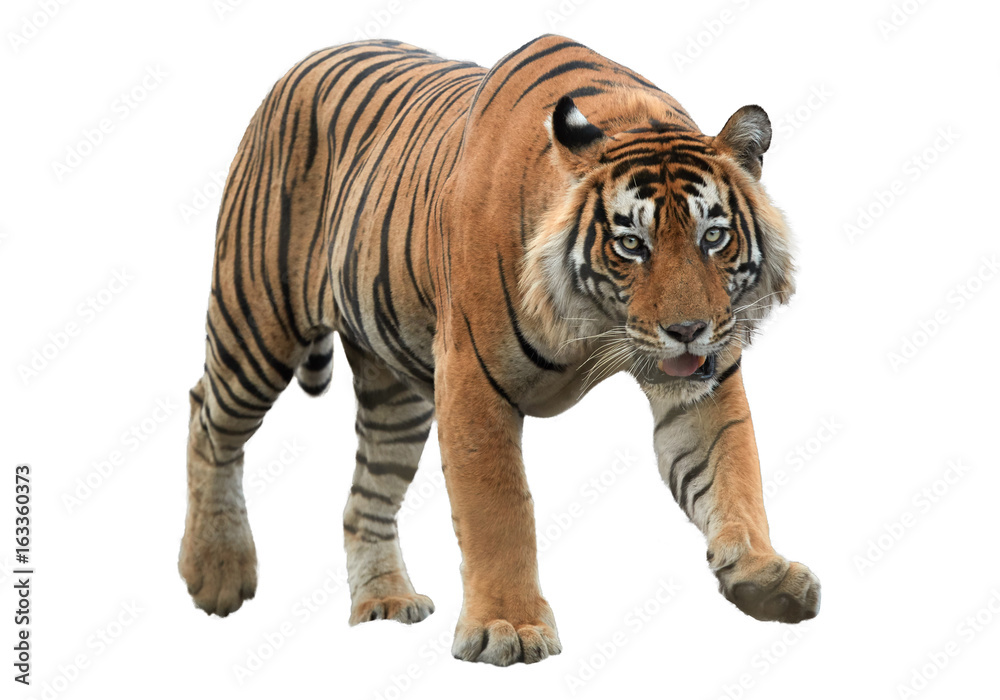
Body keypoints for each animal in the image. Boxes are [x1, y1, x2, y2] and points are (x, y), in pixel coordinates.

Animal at [179, 34, 821, 666]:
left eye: (713, 236)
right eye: (631, 245)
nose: (688, 329)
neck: (592, 324)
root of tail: (306, 60)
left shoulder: (704, 388)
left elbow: (732, 472)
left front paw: (763, 574)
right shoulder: (471, 381)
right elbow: (499, 508)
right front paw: (507, 627)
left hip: (395, 397)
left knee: (365, 497)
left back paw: (385, 600)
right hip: (255, 325)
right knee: (206, 418)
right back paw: (215, 570)